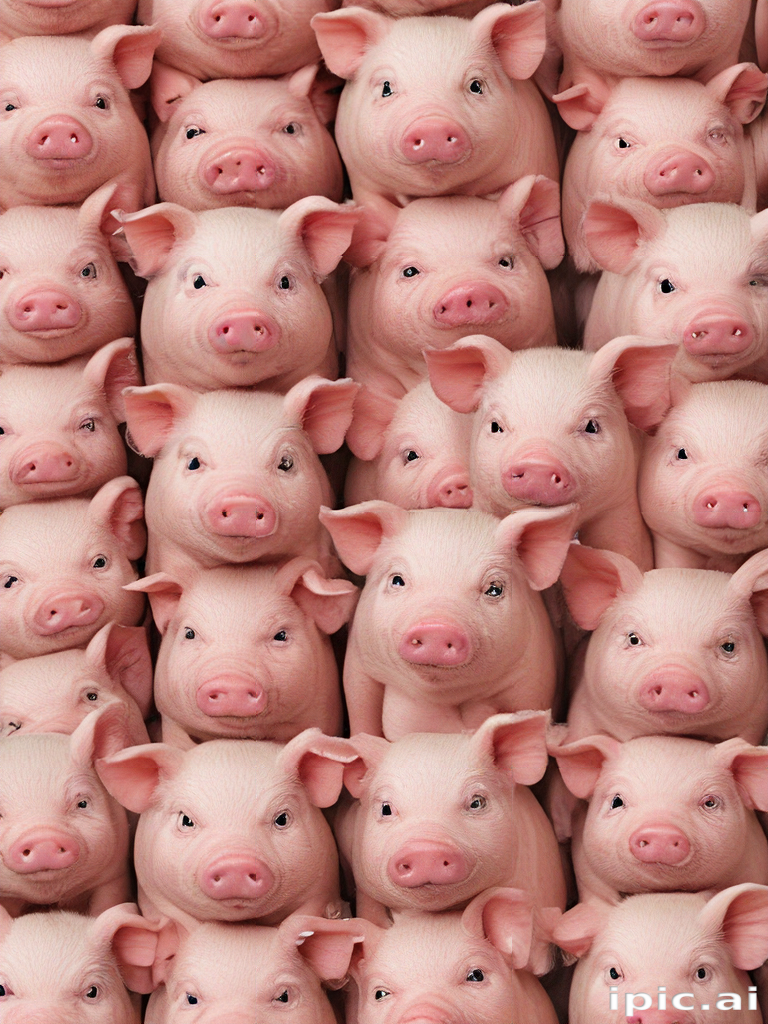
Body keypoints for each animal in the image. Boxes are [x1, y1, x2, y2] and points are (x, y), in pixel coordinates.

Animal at [320, 501, 577, 738]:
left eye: (494, 589)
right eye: (397, 580)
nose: (436, 627)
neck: (441, 695)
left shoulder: (534, 677)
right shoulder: (359, 661)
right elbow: (361, 709)